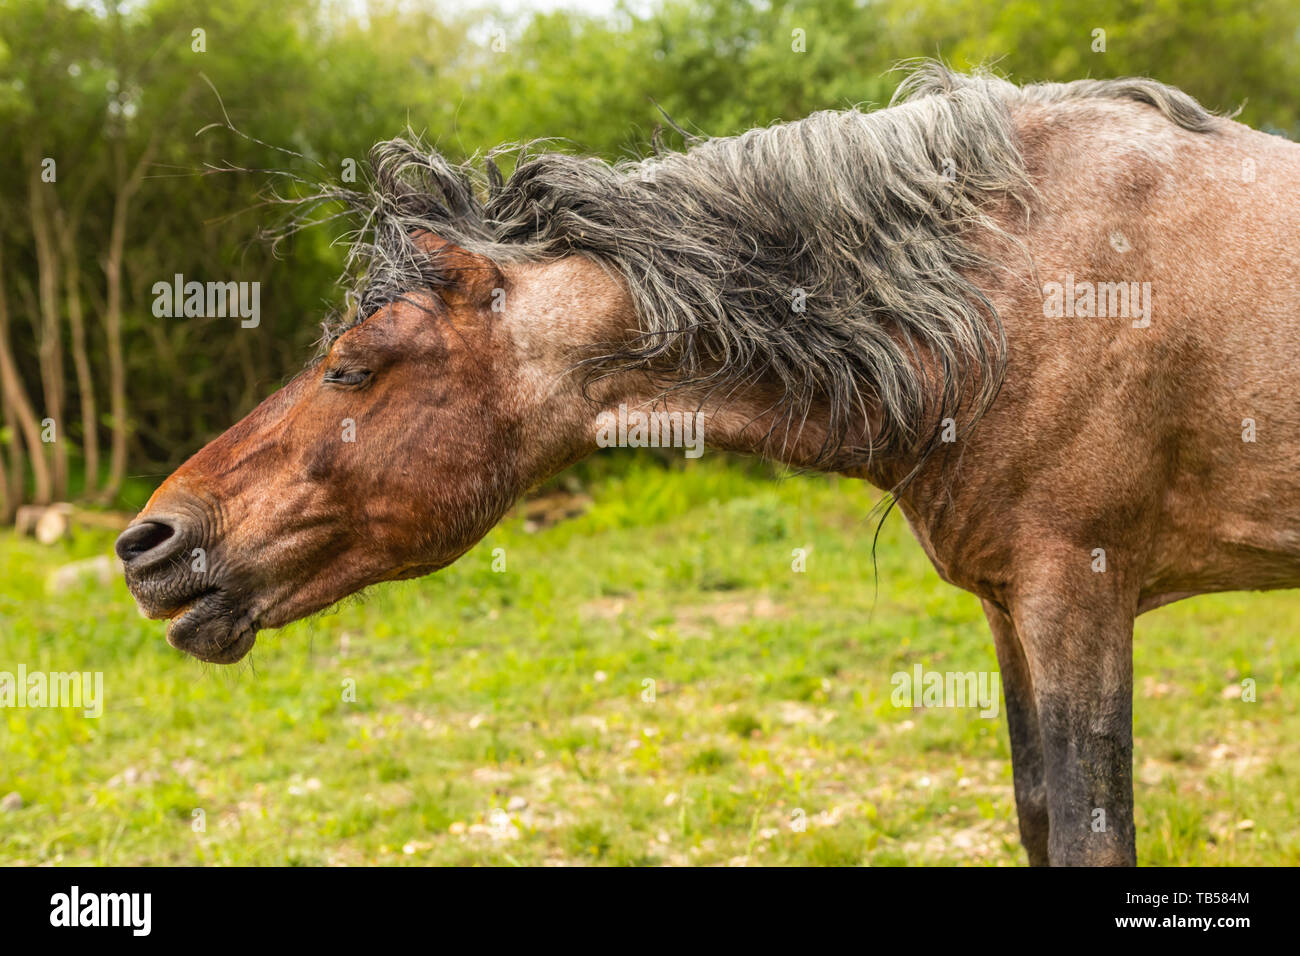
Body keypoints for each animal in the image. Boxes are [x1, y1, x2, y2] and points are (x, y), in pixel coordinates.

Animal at [117, 63, 1300, 866]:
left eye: (353, 367)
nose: (147, 541)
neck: (1001, 301)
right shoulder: (1013, 605)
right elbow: (1040, 817)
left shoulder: (1078, 590)